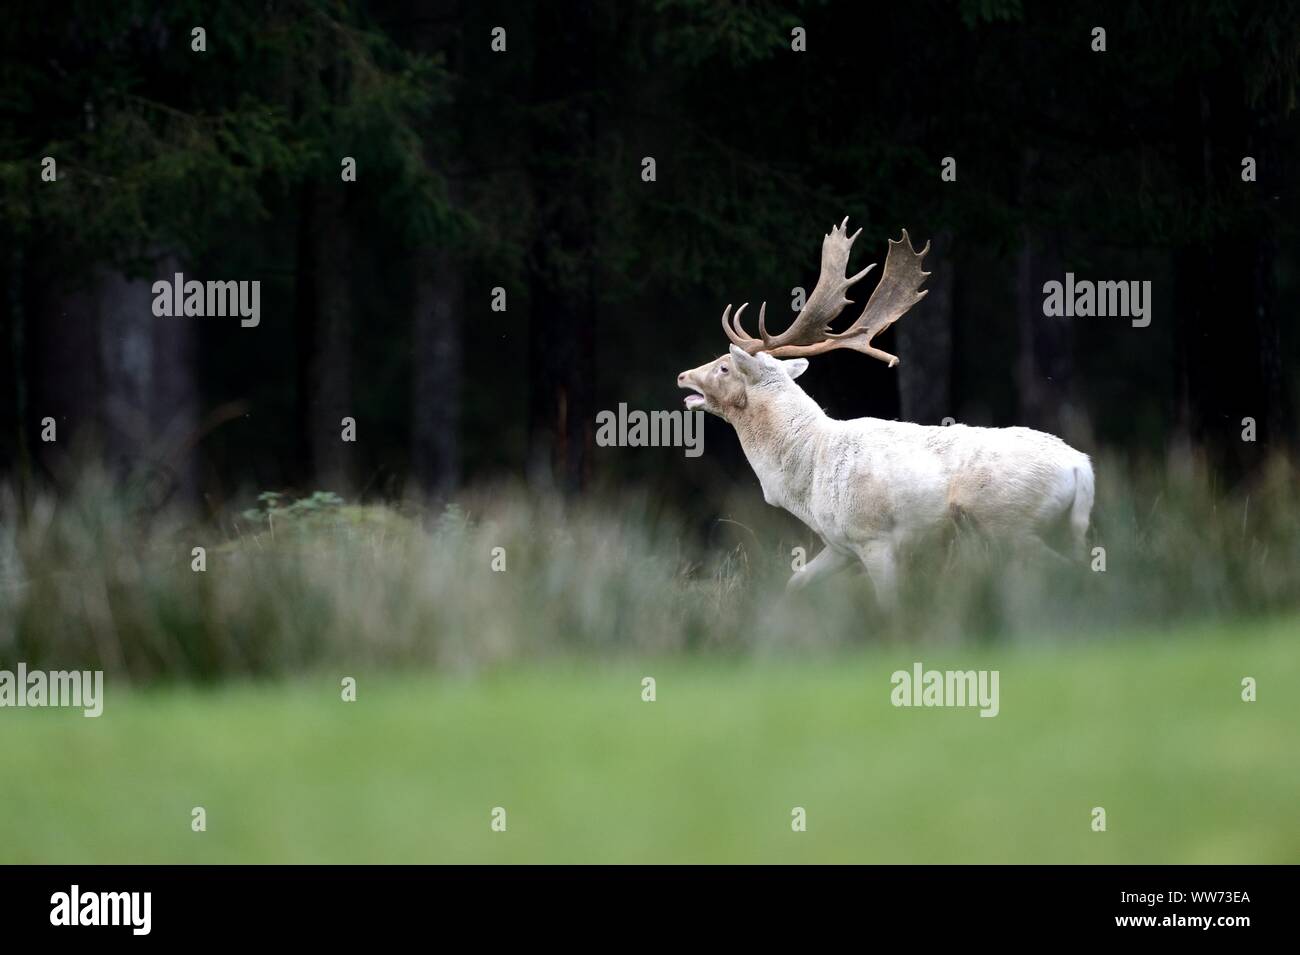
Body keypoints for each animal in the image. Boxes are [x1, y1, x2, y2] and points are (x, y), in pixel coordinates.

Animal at [677, 218, 1094, 606]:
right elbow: (796, 582)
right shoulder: (840, 545)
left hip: (1011, 523)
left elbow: (888, 603)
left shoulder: (874, 537)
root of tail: (1081, 469)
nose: (683, 375)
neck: (807, 474)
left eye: (724, 367)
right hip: (1057, 527)